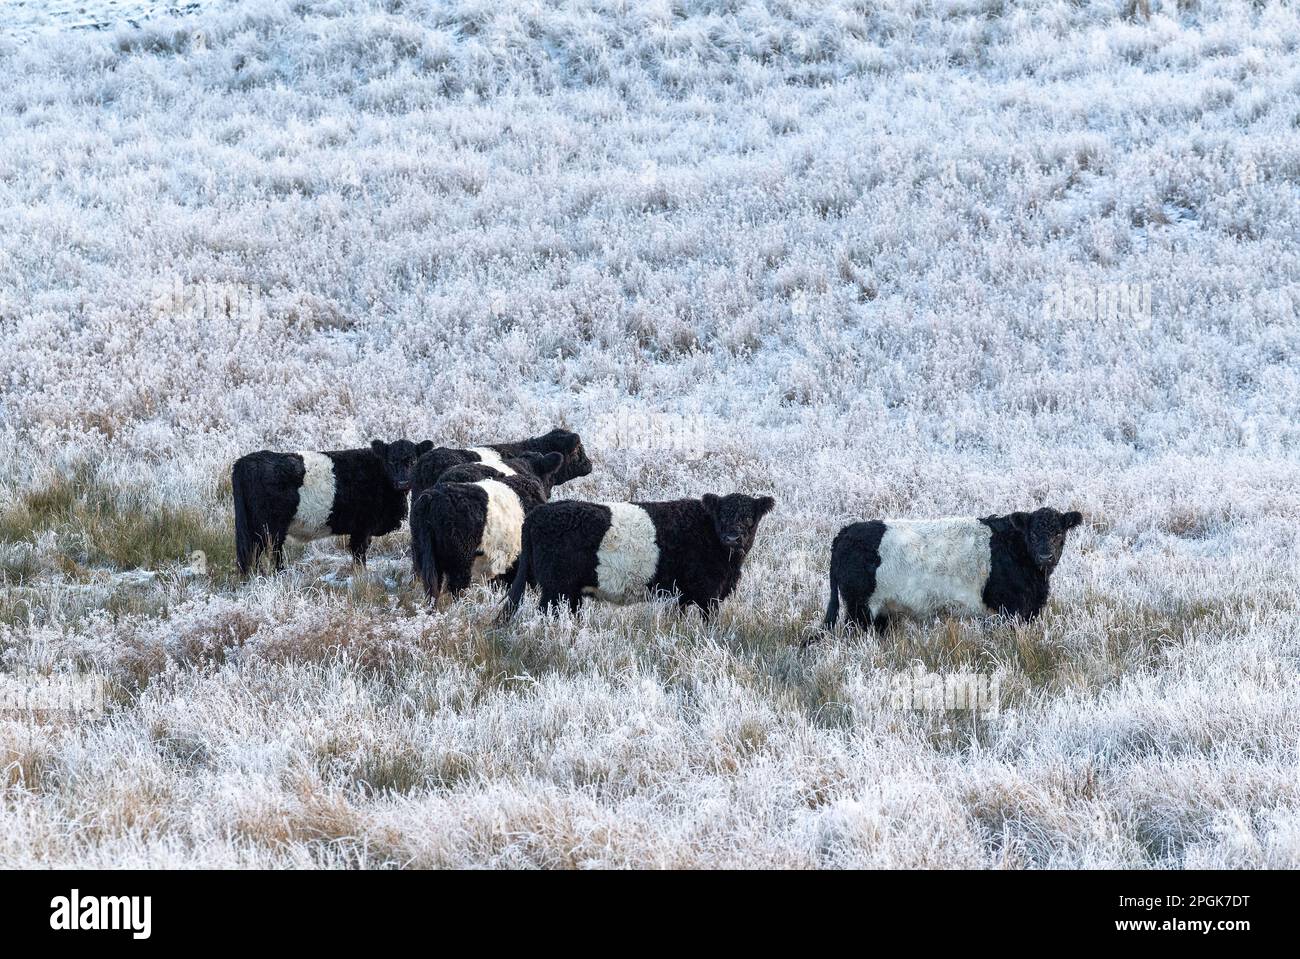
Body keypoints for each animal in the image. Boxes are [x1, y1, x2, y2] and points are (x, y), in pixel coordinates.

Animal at [231, 439, 432, 575]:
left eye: (413, 461)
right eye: (390, 461)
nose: (403, 482)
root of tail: (245, 460)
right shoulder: (362, 527)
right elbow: (359, 553)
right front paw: (361, 575)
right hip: (268, 527)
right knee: (268, 551)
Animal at [498, 493, 775, 622]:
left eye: (749, 518)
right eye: (722, 516)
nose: (732, 538)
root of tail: (539, 512)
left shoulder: (685, 595)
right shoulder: (709, 593)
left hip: (569, 592)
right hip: (555, 590)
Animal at [817, 507, 1084, 640]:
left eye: (1059, 533)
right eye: (1033, 534)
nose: (1046, 556)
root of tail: (845, 533)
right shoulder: (1010, 611)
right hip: (859, 609)